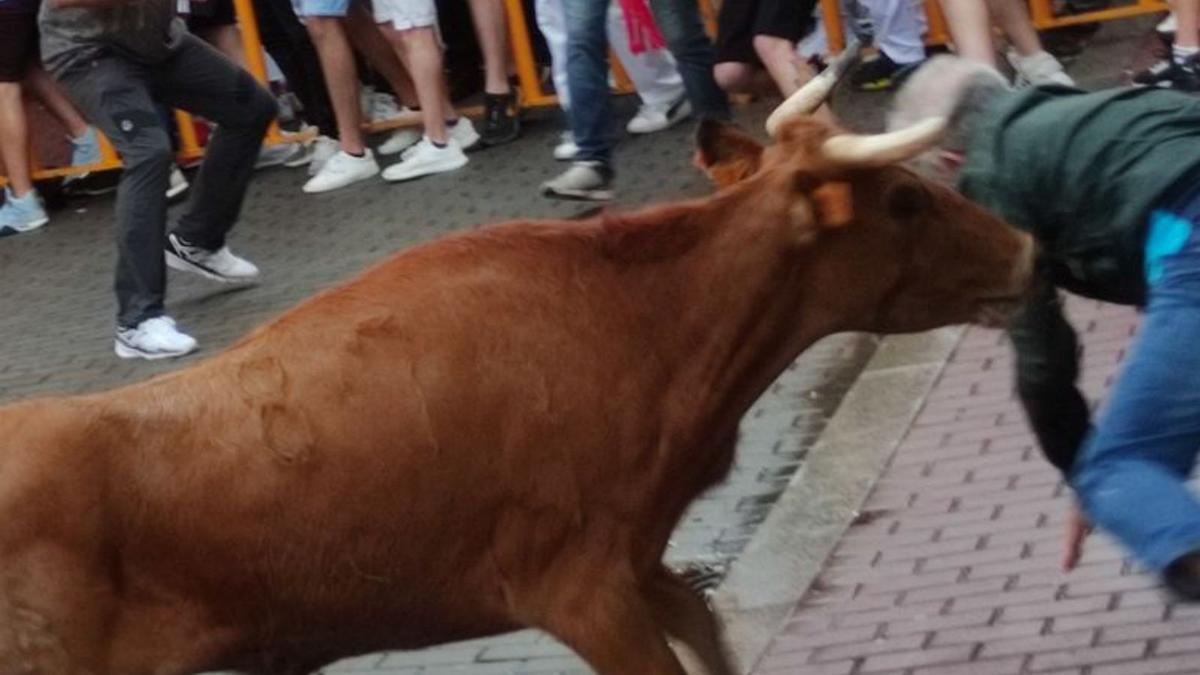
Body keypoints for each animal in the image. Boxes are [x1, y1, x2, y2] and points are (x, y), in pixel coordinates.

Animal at [0, 52, 1033, 675]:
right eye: (903, 200)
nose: (1025, 249)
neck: (645, 322)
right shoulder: (580, 587)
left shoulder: (638, 560)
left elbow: (708, 629)